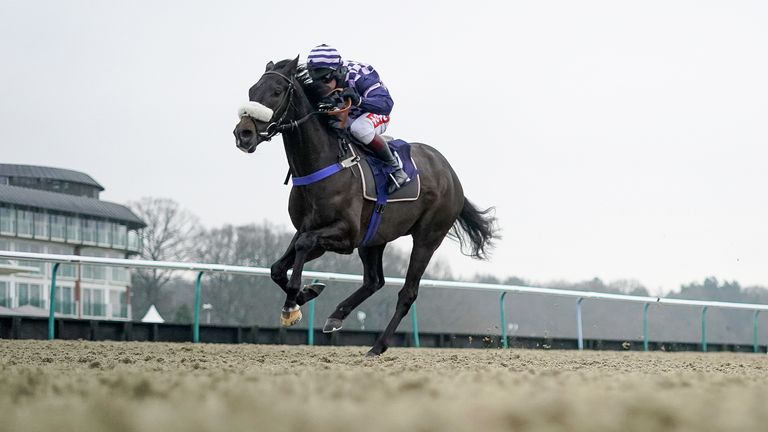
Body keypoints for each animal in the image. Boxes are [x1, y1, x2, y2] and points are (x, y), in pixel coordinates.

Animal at [233, 57, 498, 356]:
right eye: (252, 90)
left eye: (277, 91)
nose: (243, 134)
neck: (323, 163)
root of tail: (451, 175)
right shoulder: (311, 229)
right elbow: (278, 267)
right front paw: (304, 294)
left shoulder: (345, 235)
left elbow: (302, 247)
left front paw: (293, 302)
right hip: (374, 238)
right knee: (374, 281)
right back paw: (336, 315)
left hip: (427, 238)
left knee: (407, 293)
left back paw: (378, 345)